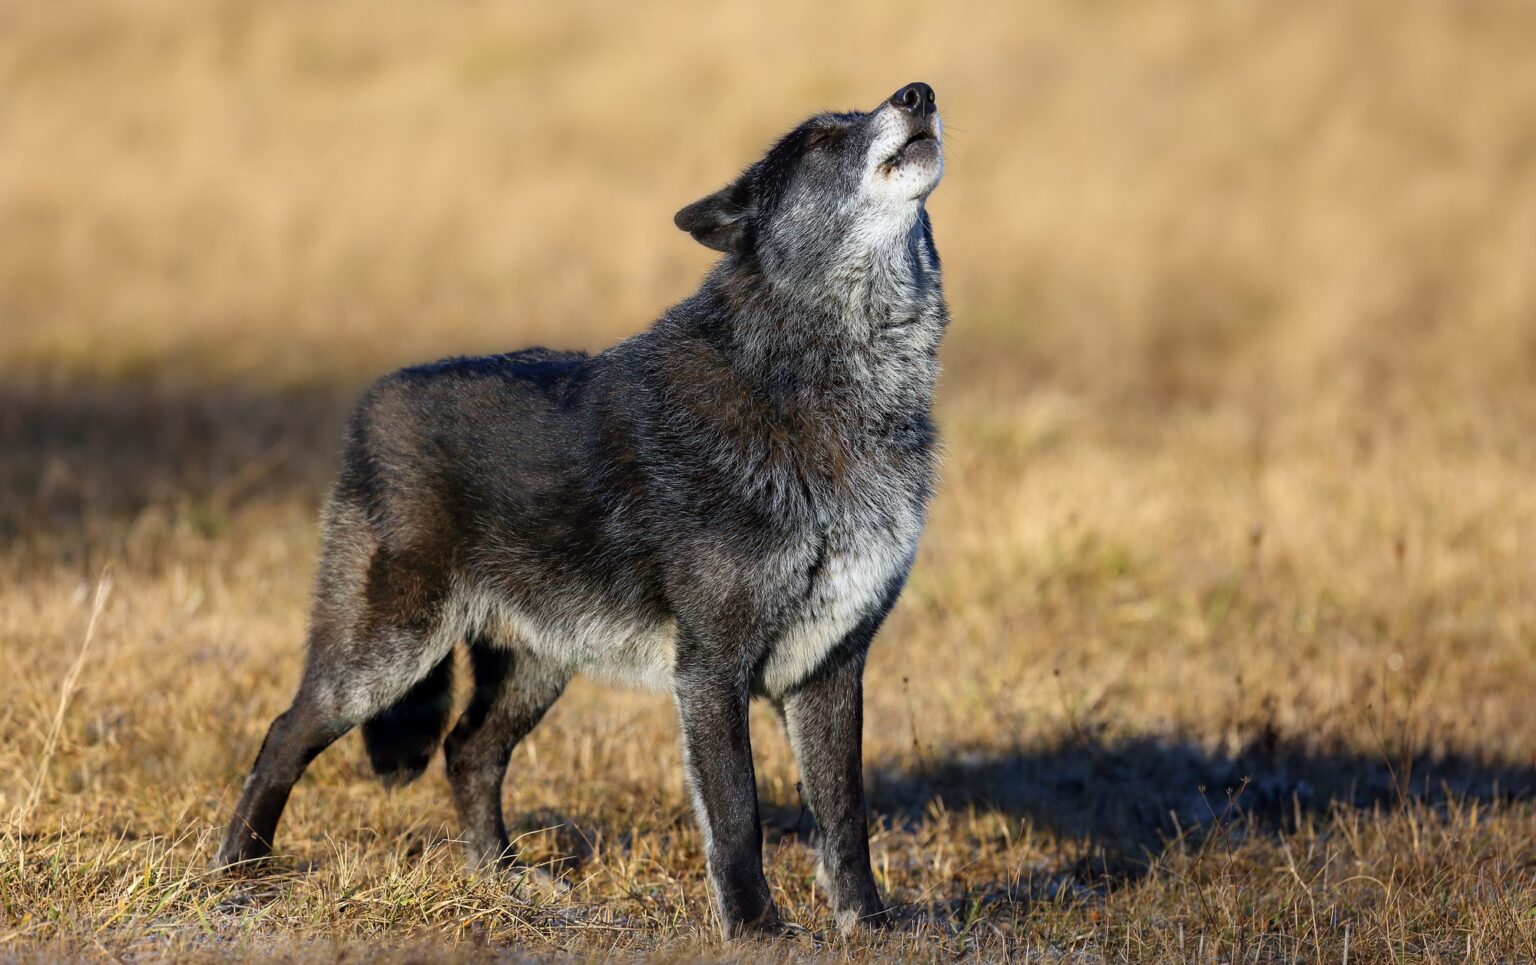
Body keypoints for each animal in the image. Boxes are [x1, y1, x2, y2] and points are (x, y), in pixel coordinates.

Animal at [215, 81, 947, 939]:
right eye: (823, 141)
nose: (918, 93)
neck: (820, 391)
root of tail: (371, 404)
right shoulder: (711, 668)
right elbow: (739, 816)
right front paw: (757, 930)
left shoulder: (832, 666)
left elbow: (846, 819)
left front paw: (871, 925)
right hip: (384, 656)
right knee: (285, 732)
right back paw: (240, 868)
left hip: (536, 665)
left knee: (468, 752)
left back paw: (505, 881)